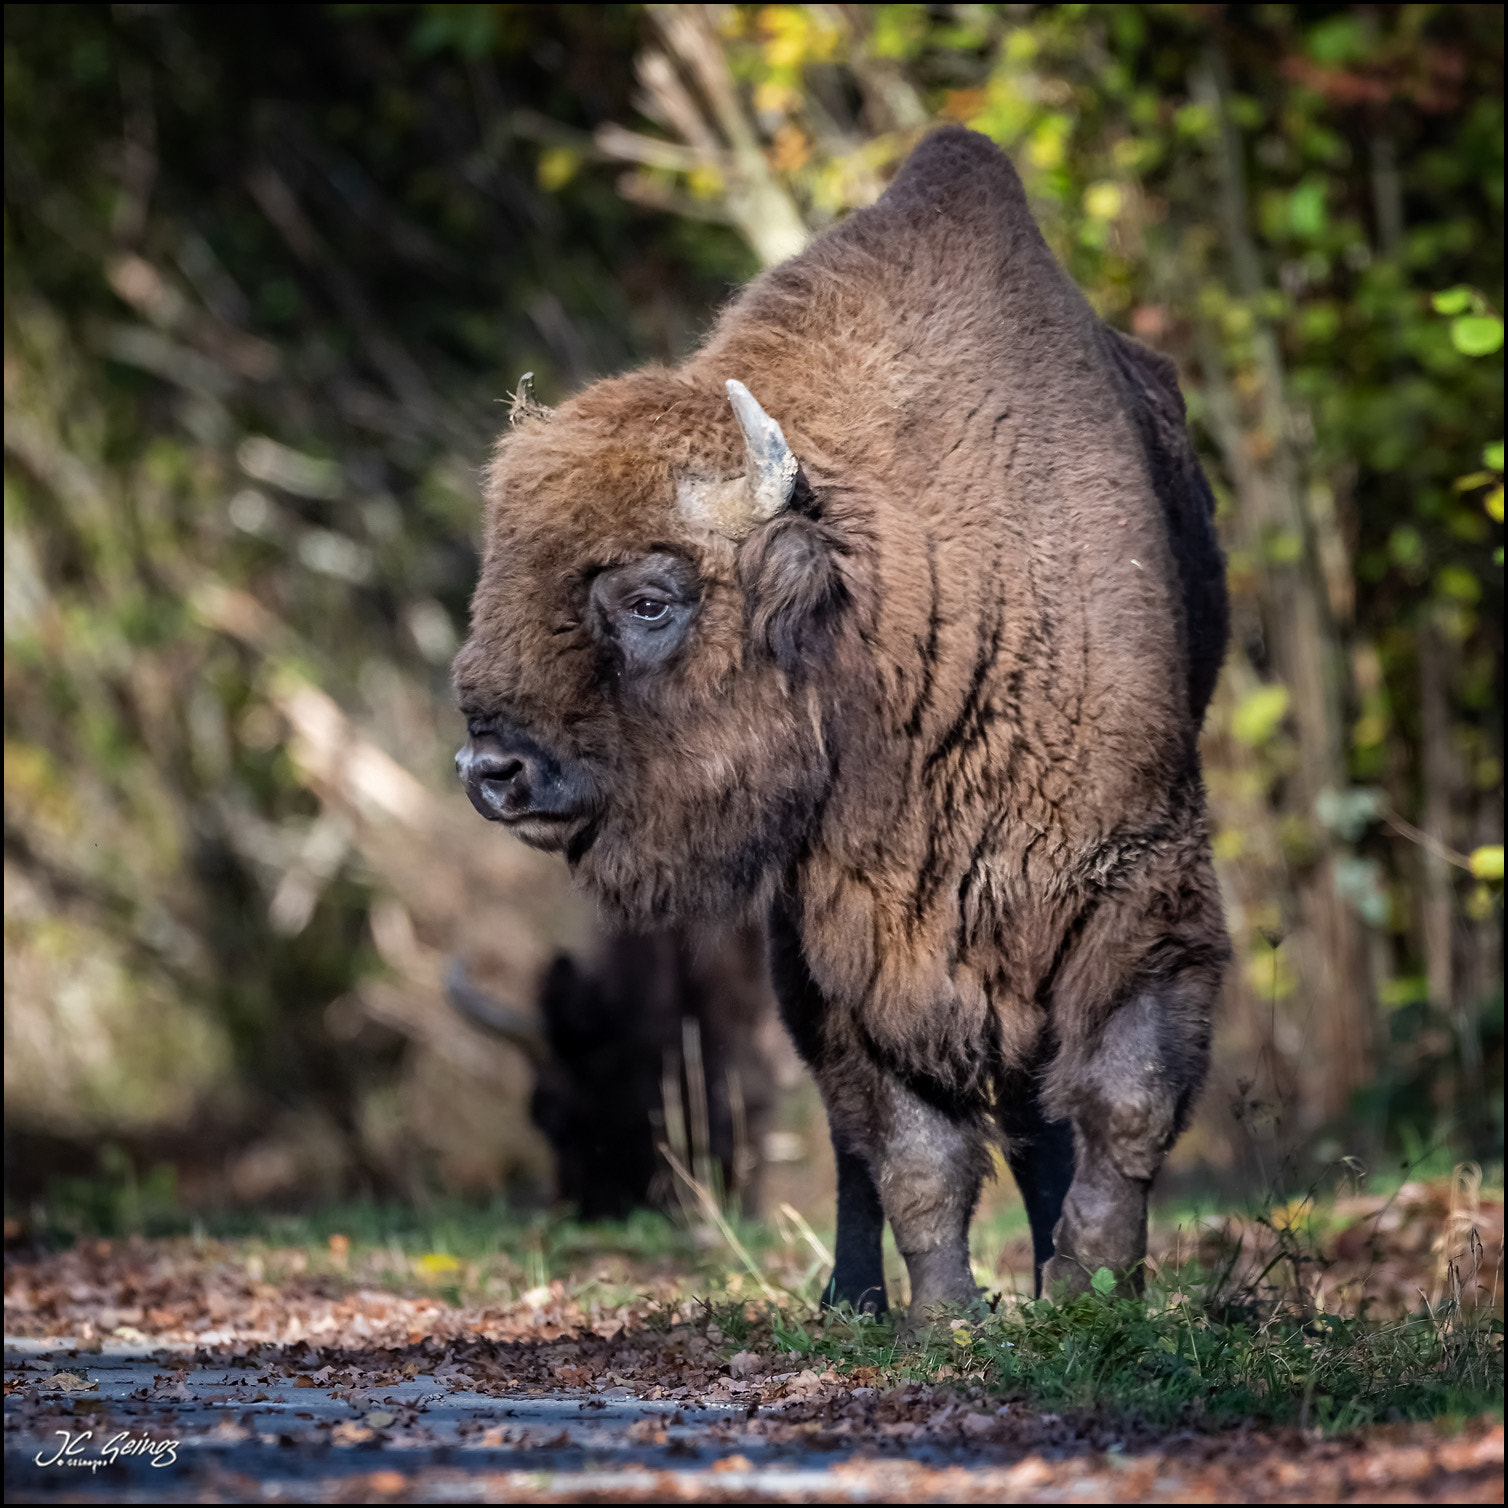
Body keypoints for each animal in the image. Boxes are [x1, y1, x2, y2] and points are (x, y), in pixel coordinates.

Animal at [454, 128, 1230, 1316]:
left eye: (650, 599)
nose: (490, 768)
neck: (878, 601)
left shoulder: (1137, 887)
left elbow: (1119, 1100)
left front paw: (1095, 1293)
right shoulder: (843, 947)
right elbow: (910, 1147)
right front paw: (947, 1318)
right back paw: (854, 1298)